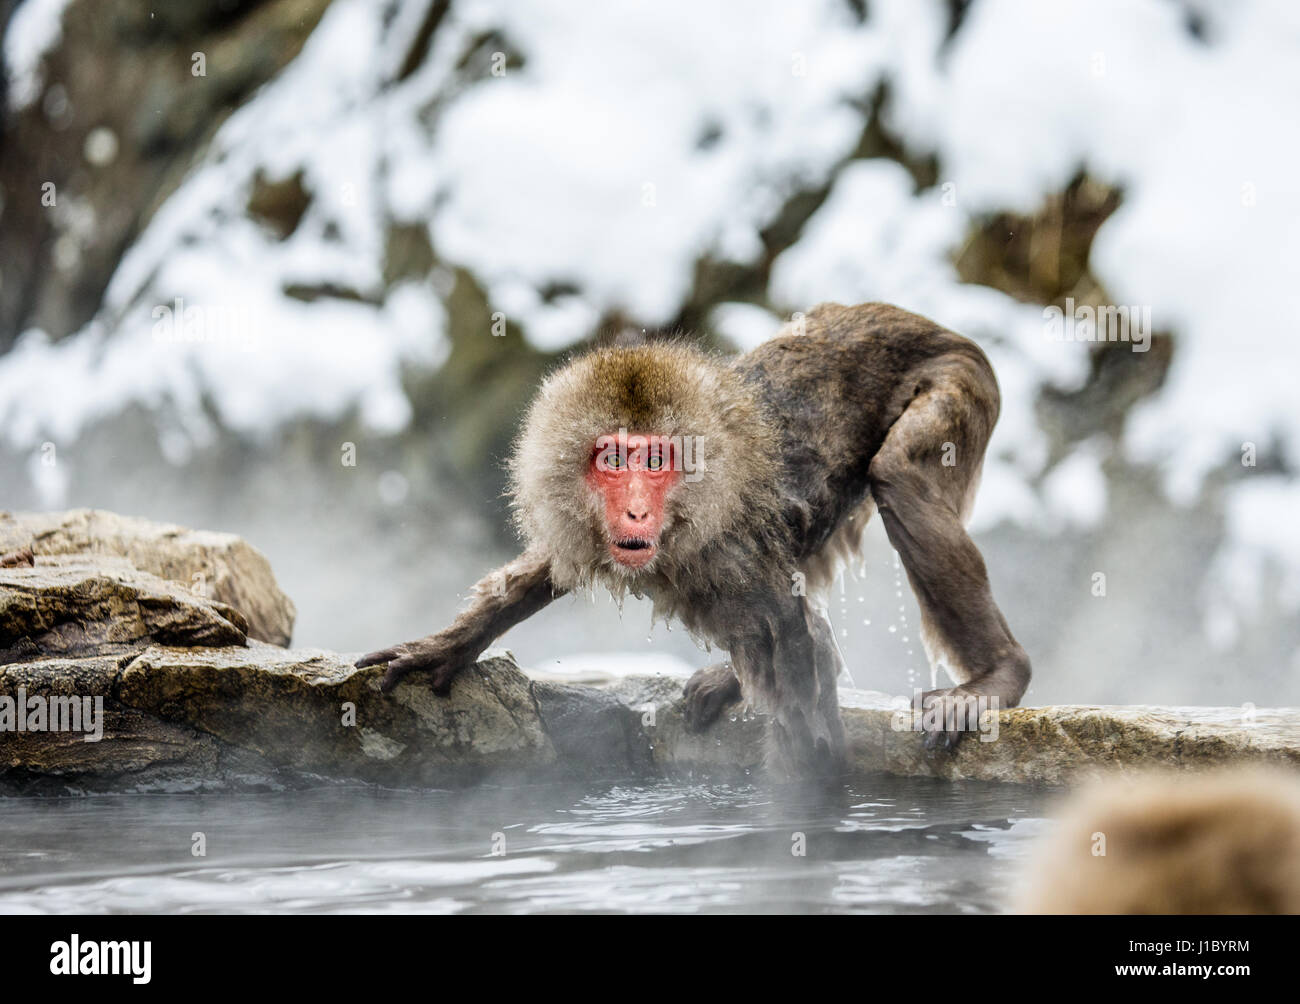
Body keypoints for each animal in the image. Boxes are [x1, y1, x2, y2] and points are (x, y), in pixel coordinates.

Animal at [357, 302, 1031, 777]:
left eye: (656, 461)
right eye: (613, 460)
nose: (633, 513)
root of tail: (904, 315)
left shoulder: (736, 557)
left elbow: (799, 654)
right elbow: (547, 568)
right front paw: (446, 647)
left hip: (959, 374)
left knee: (900, 477)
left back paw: (1000, 677)